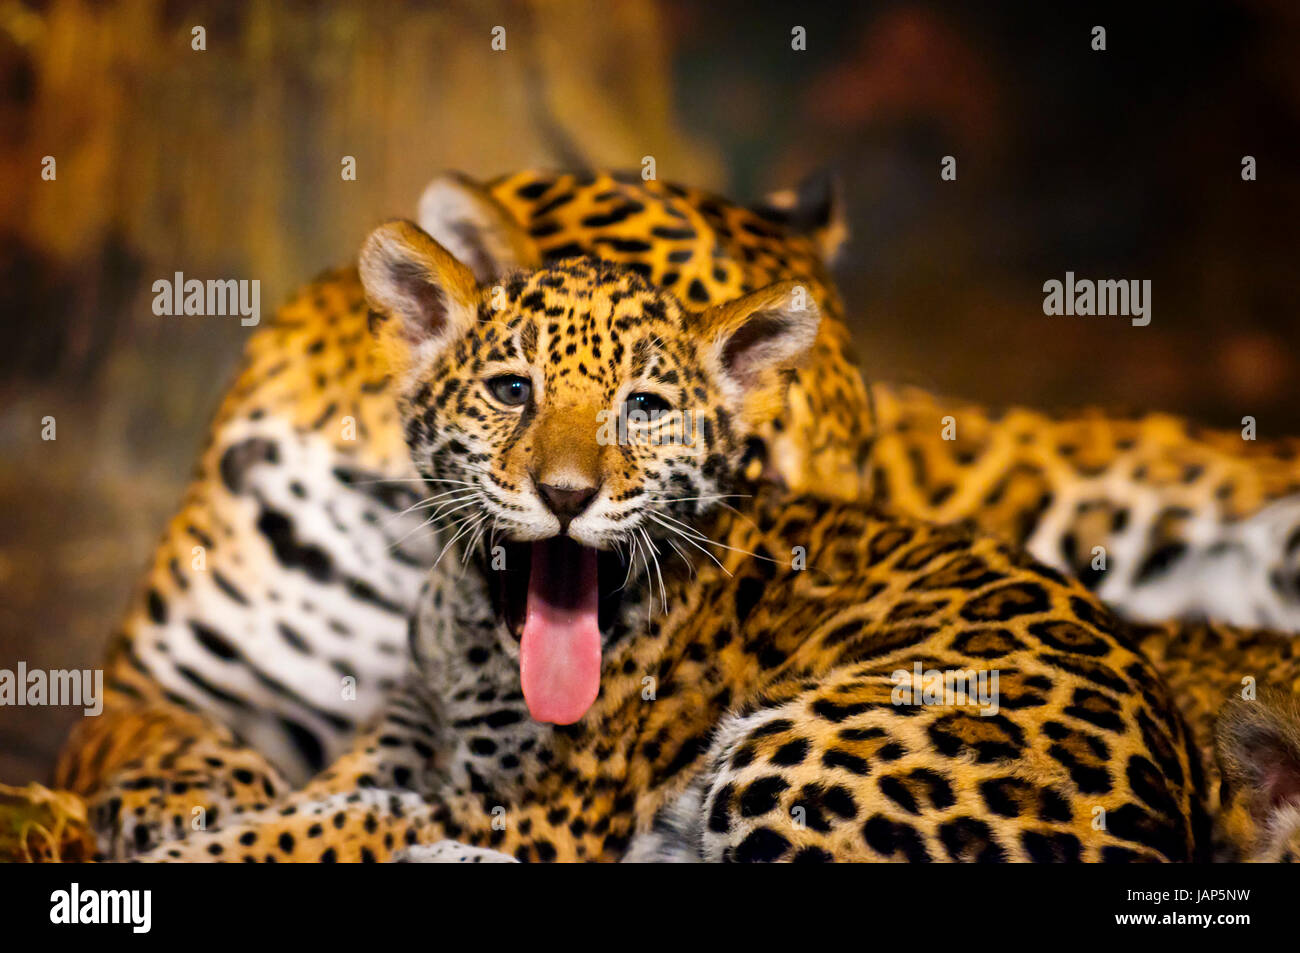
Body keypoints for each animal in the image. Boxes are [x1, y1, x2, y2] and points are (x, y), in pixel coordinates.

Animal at [52, 167, 1300, 861]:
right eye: (513, 390)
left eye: (861, 464)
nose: (565, 495)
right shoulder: (166, 691)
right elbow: (218, 777)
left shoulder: (532, 806)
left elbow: (353, 823)